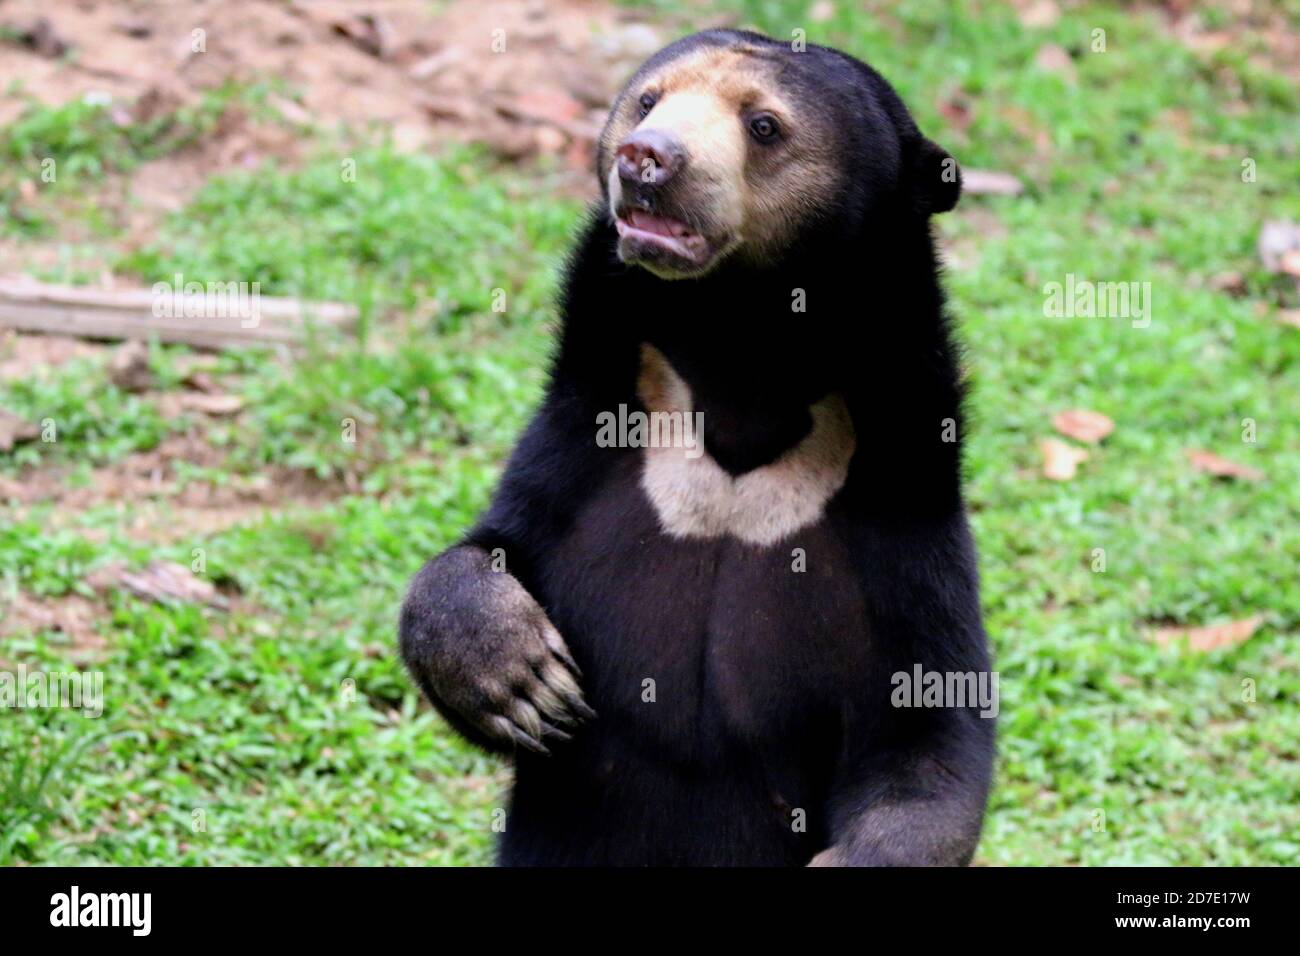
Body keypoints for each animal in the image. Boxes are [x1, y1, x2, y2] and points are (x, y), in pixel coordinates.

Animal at [399, 28, 995, 866]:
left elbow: (932, 733)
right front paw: (520, 678)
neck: (735, 343)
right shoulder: (587, 441)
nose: (646, 158)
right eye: (648, 100)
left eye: (764, 125)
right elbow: (491, 549)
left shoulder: (900, 516)